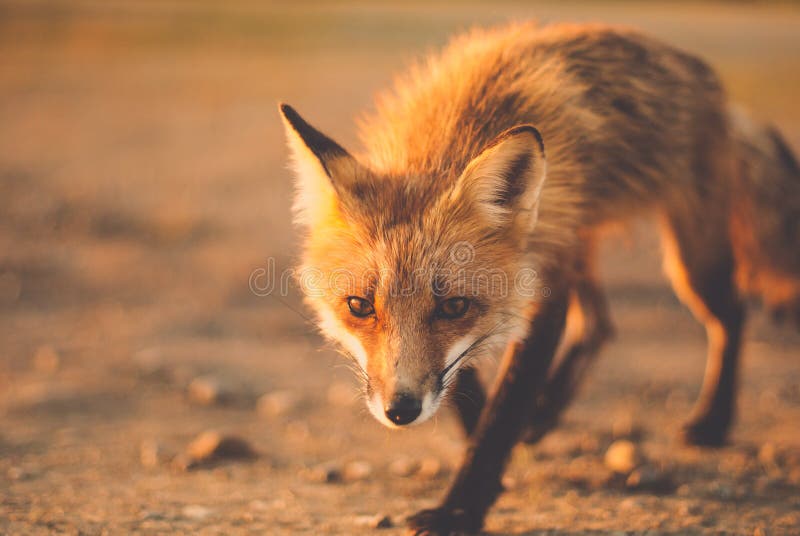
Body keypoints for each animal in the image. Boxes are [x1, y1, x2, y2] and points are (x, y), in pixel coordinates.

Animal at [278, 22, 800, 535]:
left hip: (690, 260)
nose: (401, 411)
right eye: (359, 306)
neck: (454, 133)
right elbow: (467, 385)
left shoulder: (539, 294)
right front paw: (488, 449)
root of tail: (714, 89)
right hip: (581, 242)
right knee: (600, 324)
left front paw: (460, 509)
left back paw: (713, 421)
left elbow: (503, 412)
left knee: (729, 315)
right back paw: (548, 413)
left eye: (453, 306)